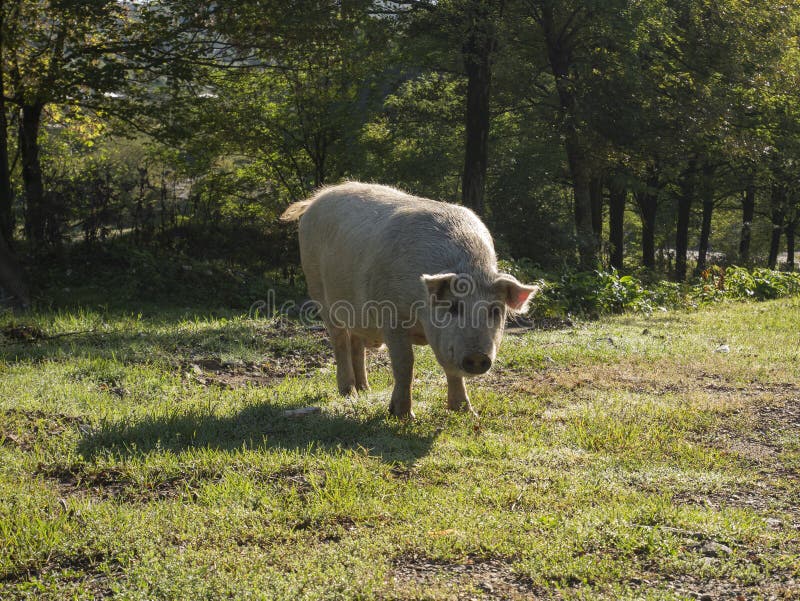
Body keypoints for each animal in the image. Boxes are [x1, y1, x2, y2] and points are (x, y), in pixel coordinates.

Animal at [280, 182, 538, 418]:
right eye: (453, 307)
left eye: (495, 311)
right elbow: (405, 363)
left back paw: (365, 389)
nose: (477, 356)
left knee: (356, 342)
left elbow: (451, 369)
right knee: (340, 341)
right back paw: (349, 392)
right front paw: (403, 415)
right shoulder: (391, 316)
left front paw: (467, 413)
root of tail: (315, 199)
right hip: (318, 289)